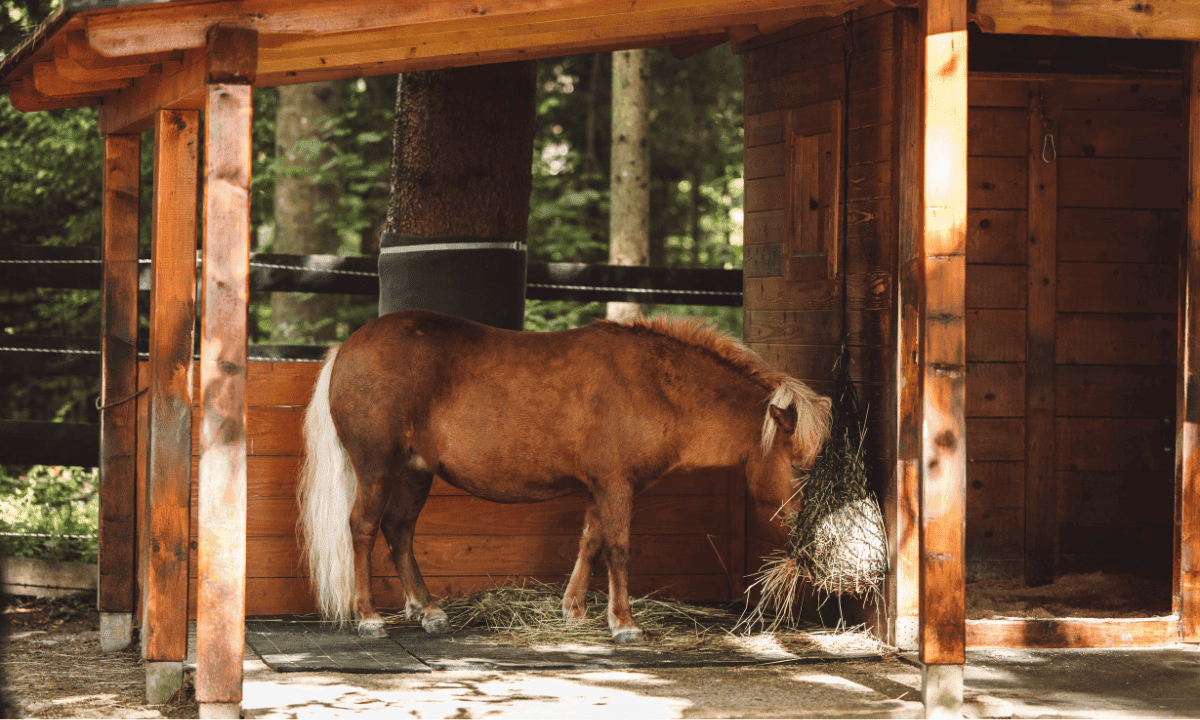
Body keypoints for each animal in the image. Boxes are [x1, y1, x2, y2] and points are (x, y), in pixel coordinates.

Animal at [298, 309, 831, 644]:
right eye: (799, 468)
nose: (808, 542)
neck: (654, 384)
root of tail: (347, 347)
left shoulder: (602, 488)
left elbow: (590, 542)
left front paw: (573, 612)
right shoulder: (617, 486)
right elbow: (617, 548)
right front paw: (623, 623)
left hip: (414, 473)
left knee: (399, 531)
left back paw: (427, 610)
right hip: (378, 469)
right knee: (364, 529)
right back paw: (369, 617)